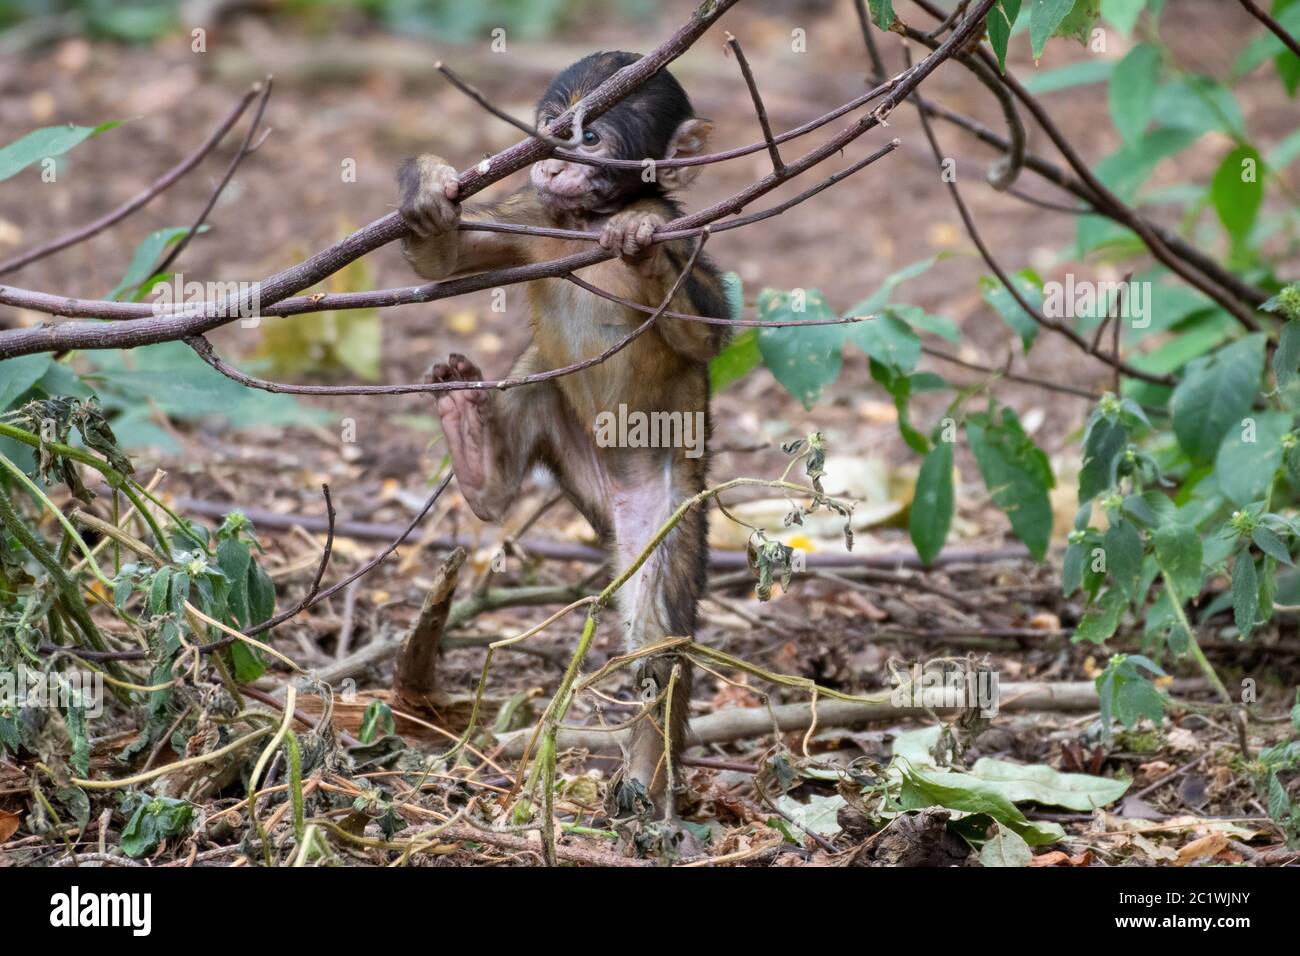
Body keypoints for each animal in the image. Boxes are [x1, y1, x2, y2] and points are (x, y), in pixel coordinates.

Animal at [397, 51, 729, 827]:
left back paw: (647, 786)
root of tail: (609, 492)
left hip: (664, 501)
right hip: (576, 459)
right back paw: (478, 459)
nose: (552, 163)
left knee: (654, 640)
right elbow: (444, 258)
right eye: (551, 130)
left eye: (593, 140)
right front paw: (426, 183)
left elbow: (709, 331)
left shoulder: (680, 229)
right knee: (538, 383)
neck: (587, 214)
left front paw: (636, 249)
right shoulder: (535, 217)